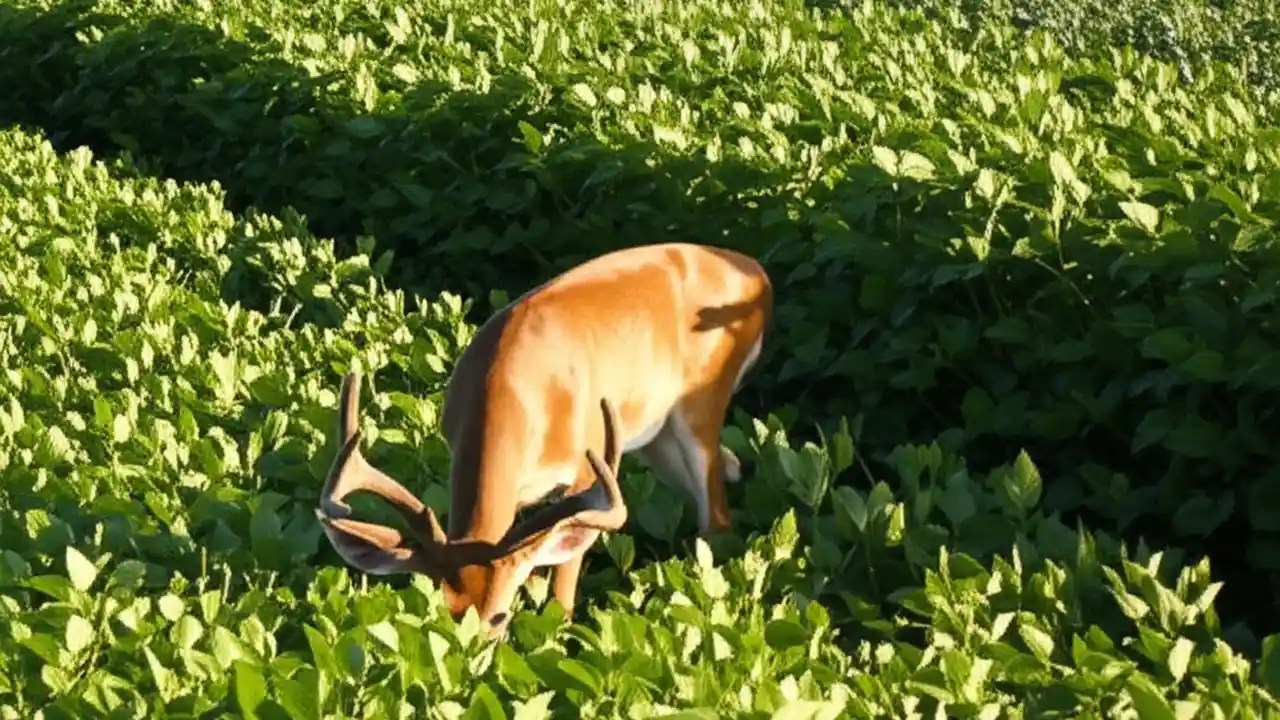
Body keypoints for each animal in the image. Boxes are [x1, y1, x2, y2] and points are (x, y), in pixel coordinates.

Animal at [315, 242, 773, 638]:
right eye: (446, 611)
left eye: (499, 615)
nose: (469, 664)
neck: (512, 389)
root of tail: (758, 274)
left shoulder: (588, 468)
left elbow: (563, 585)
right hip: (654, 437)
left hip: (702, 403)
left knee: (716, 514)